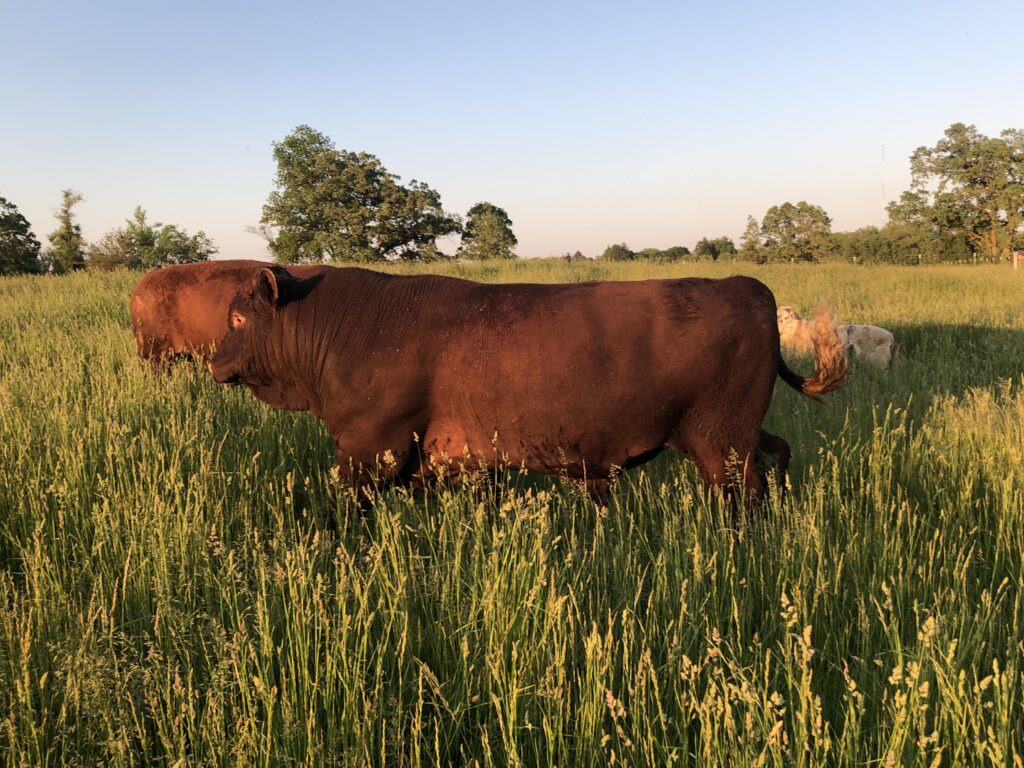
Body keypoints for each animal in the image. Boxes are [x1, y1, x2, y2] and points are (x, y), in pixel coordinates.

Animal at [209, 267, 848, 503]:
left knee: (744, 497)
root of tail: (742, 283)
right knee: (779, 453)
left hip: (722, 445)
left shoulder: (367, 452)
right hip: (737, 434)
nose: (213, 362)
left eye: (238, 318)